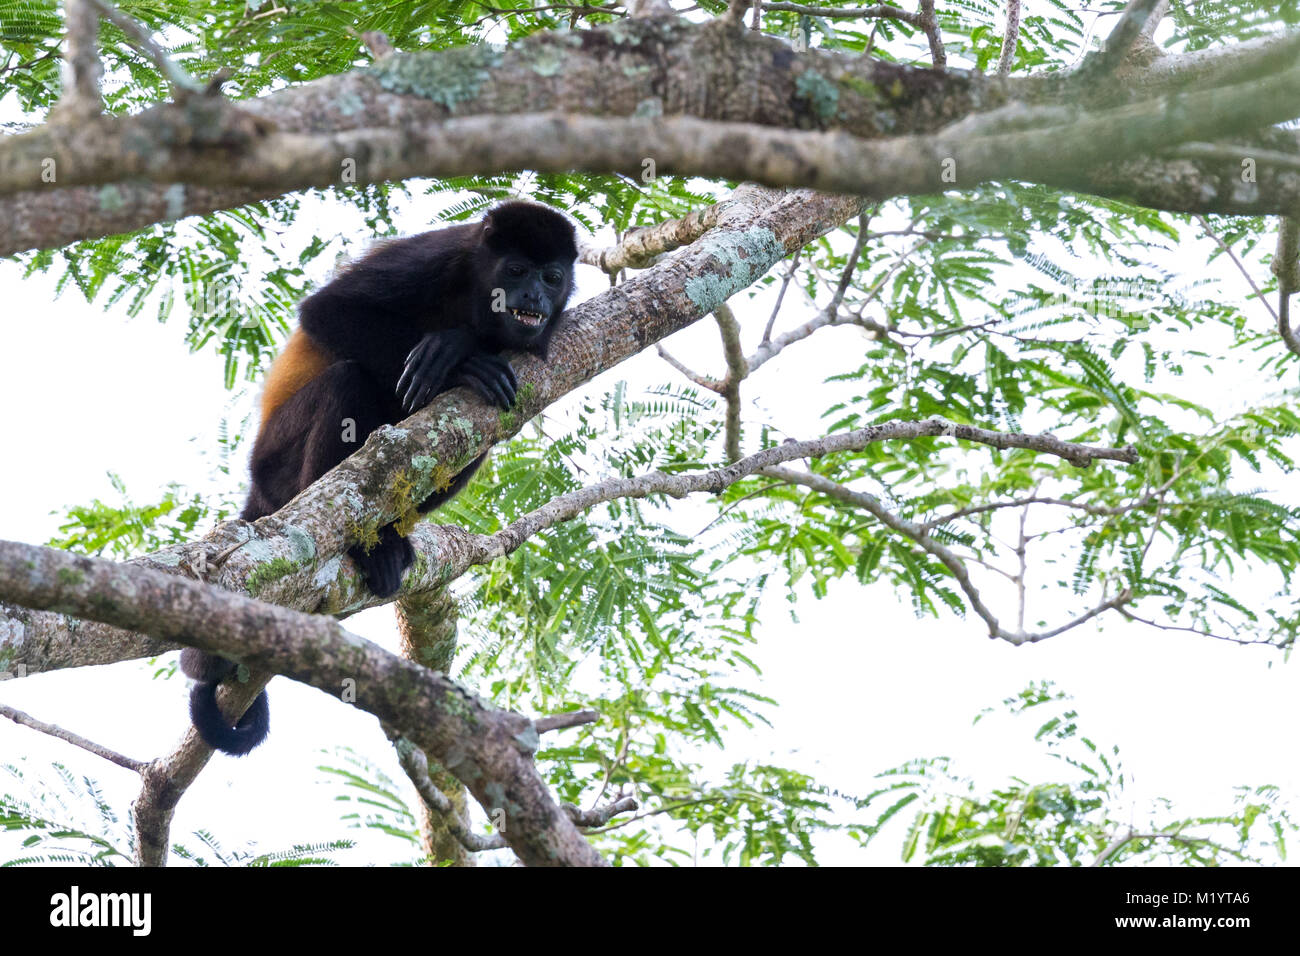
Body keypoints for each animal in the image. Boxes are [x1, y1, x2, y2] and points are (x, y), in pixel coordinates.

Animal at [181, 200, 579, 755]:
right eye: (517, 270)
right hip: (276, 464)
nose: (534, 297)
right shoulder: (436, 256)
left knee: (474, 442)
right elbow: (328, 311)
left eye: (552, 276)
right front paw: (458, 355)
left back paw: (388, 541)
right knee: (346, 382)